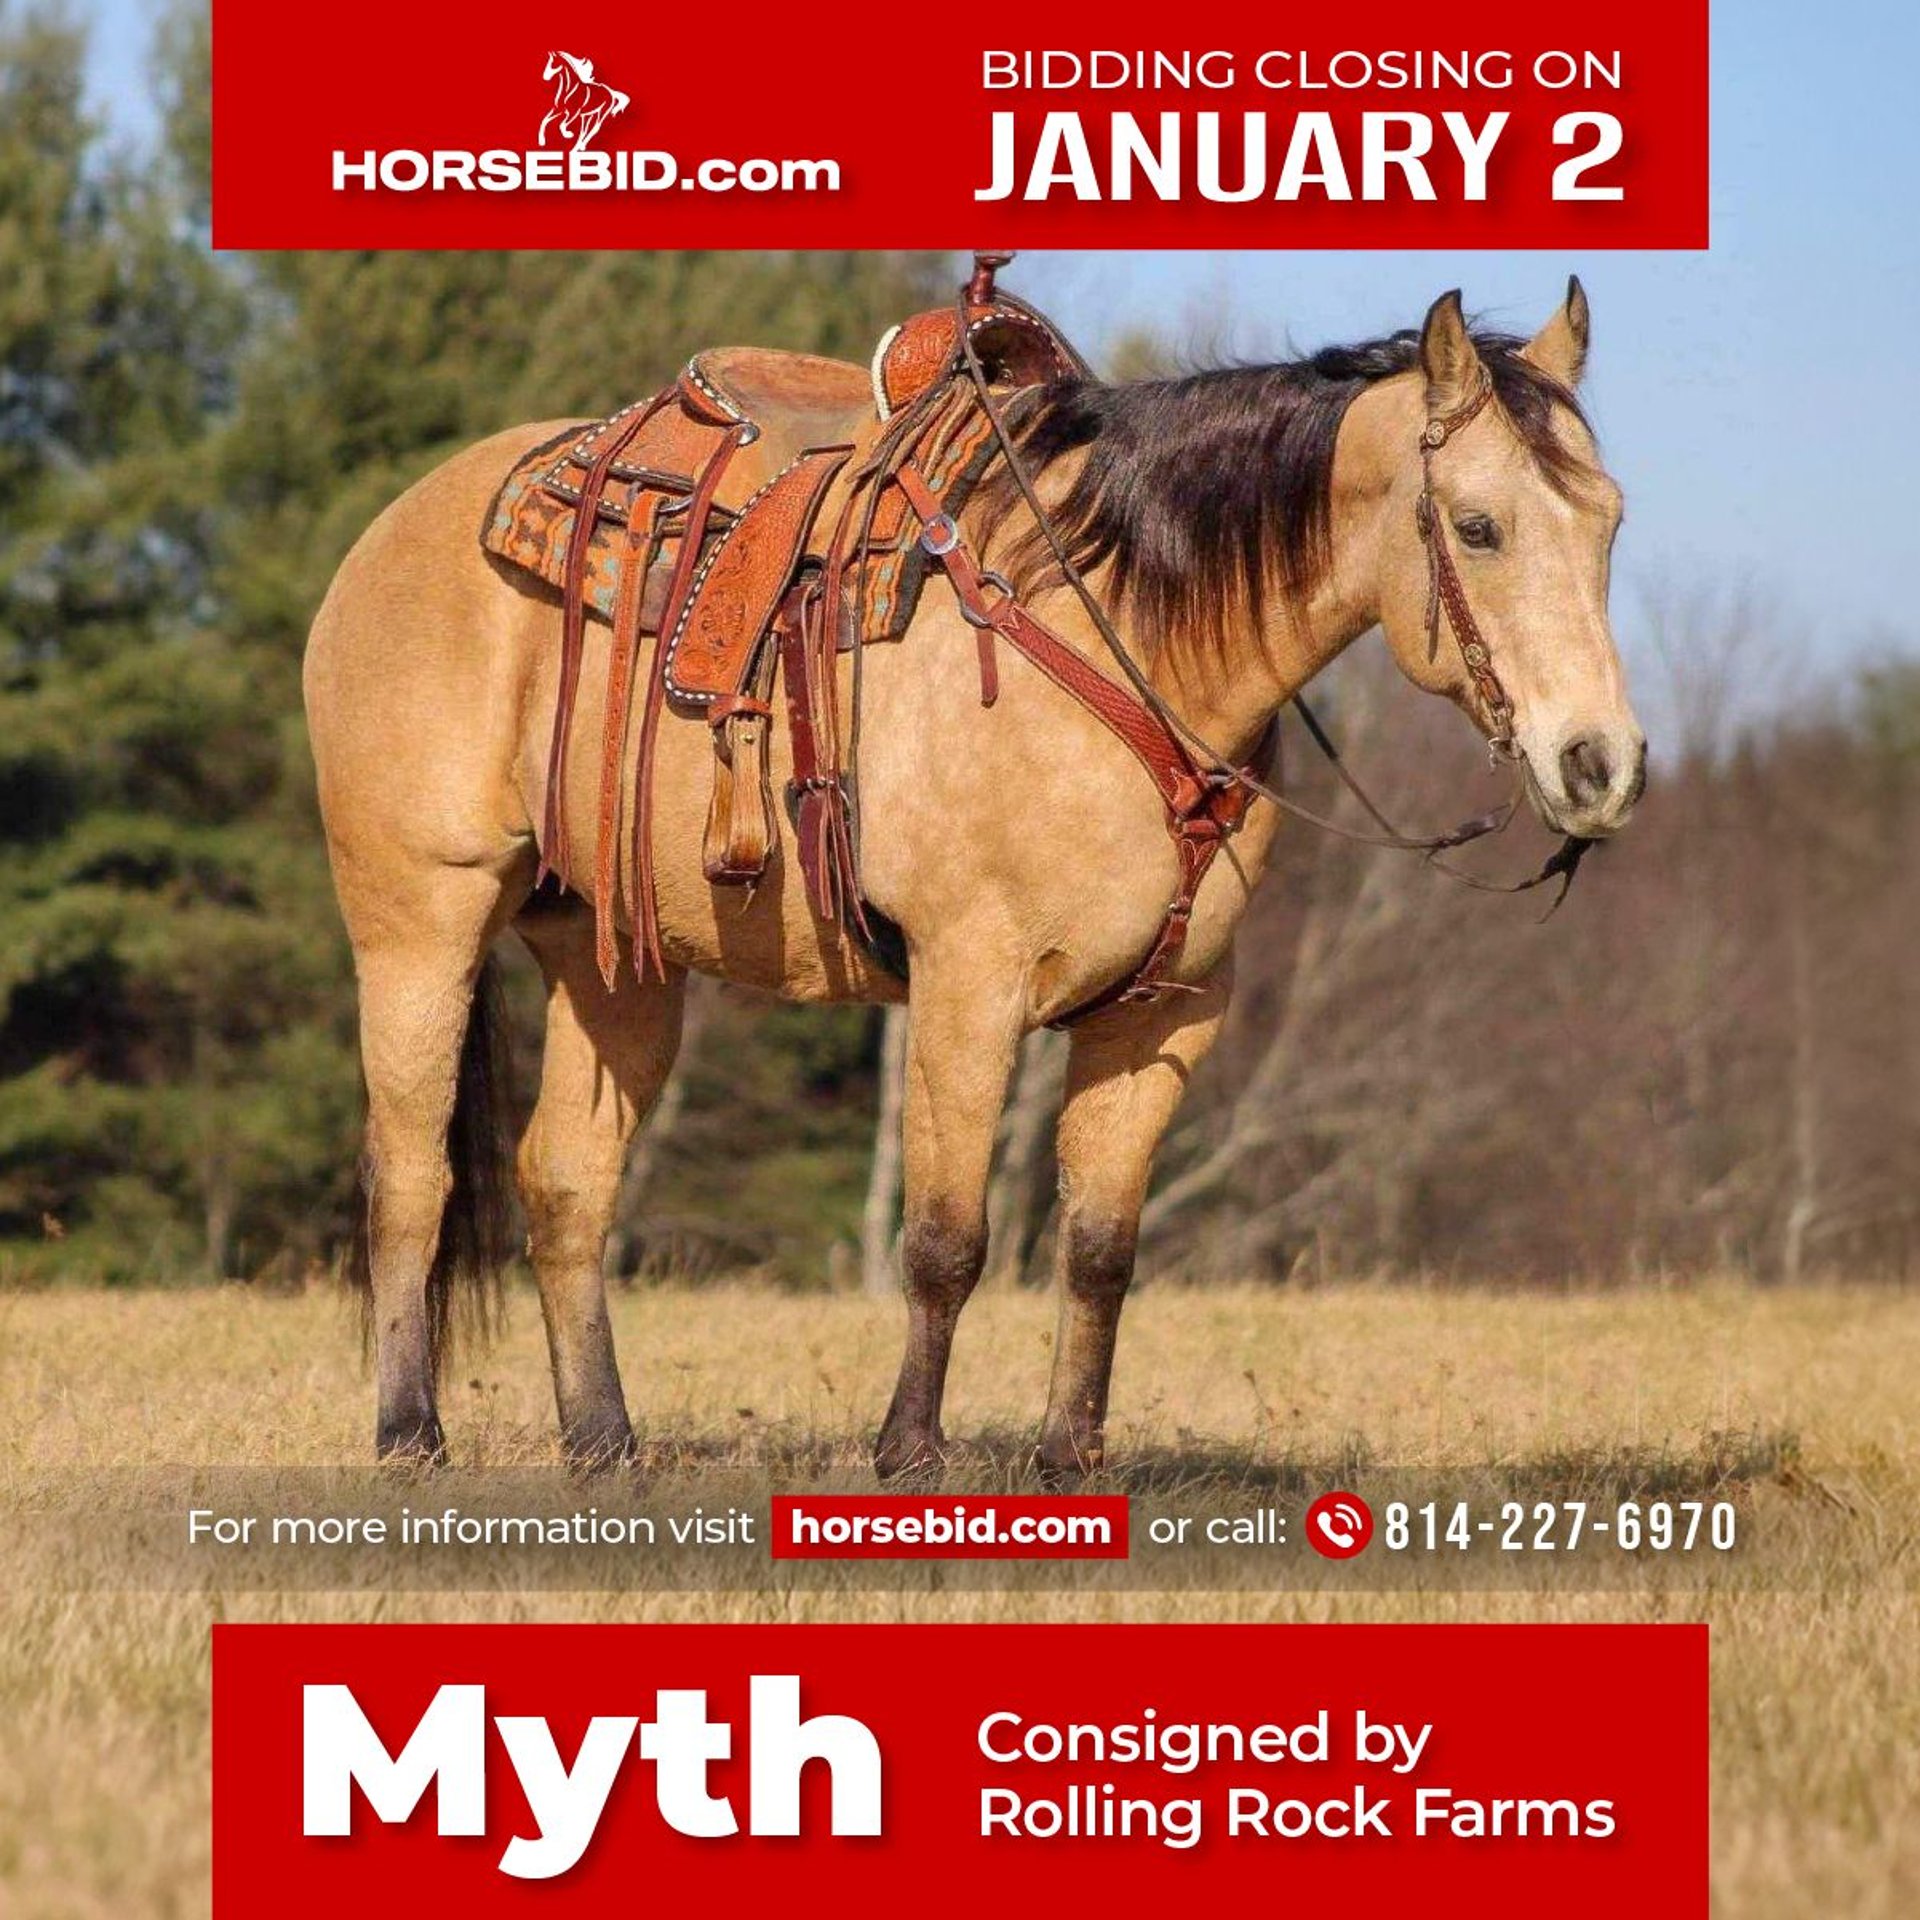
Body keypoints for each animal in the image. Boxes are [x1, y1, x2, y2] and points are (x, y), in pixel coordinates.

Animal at [303, 281, 1645, 1473]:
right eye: (1477, 526)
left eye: (1611, 523)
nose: (1601, 765)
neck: (1122, 631)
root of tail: (395, 529)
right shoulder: (969, 983)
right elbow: (947, 1239)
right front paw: (909, 1454)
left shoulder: (1164, 1017)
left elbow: (1100, 1244)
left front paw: (1071, 1461)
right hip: (420, 925)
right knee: (410, 1174)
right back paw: (409, 1435)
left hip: (612, 959)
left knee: (565, 1184)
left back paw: (604, 1447)